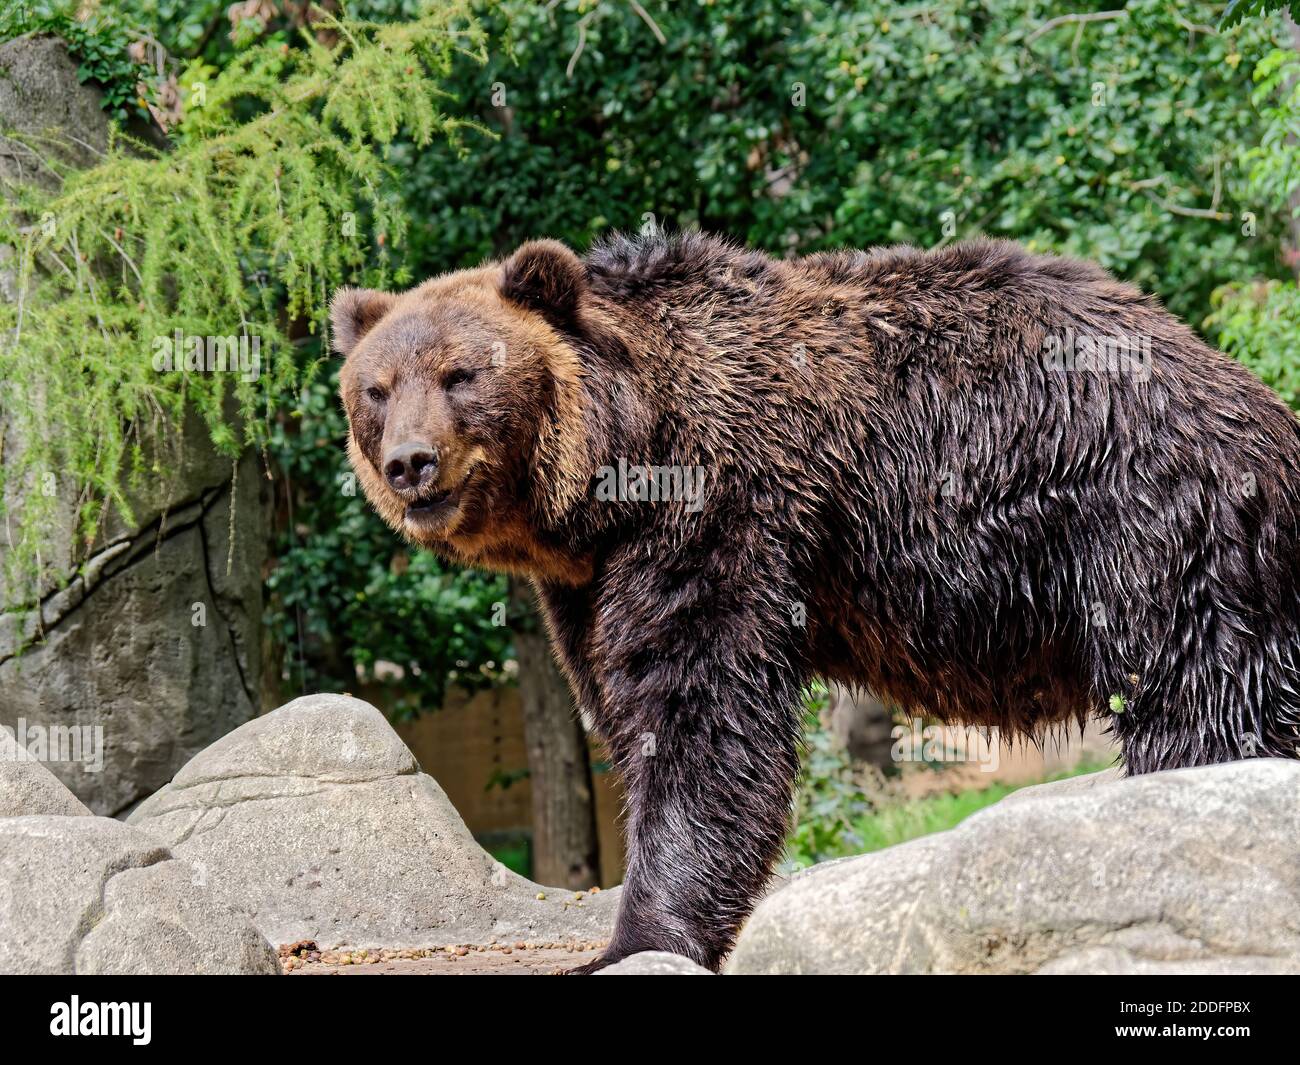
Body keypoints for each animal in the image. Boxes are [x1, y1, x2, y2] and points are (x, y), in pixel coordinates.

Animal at [331, 231, 1300, 972]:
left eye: (461, 373)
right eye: (375, 389)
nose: (411, 462)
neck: (614, 472)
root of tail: (1255, 400)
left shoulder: (718, 506)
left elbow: (701, 712)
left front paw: (636, 936)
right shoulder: (584, 582)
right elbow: (630, 706)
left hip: (1145, 522)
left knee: (1197, 693)